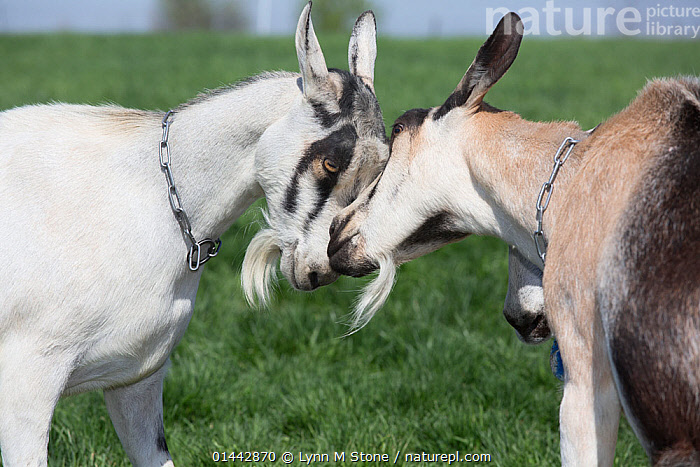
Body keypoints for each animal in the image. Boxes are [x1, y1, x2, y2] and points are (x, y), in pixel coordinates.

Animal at [0, 4, 388, 466]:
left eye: (383, 167)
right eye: (330, 161)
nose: (323, 269)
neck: (150, 197)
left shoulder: (138, 380)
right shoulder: (27, 382)